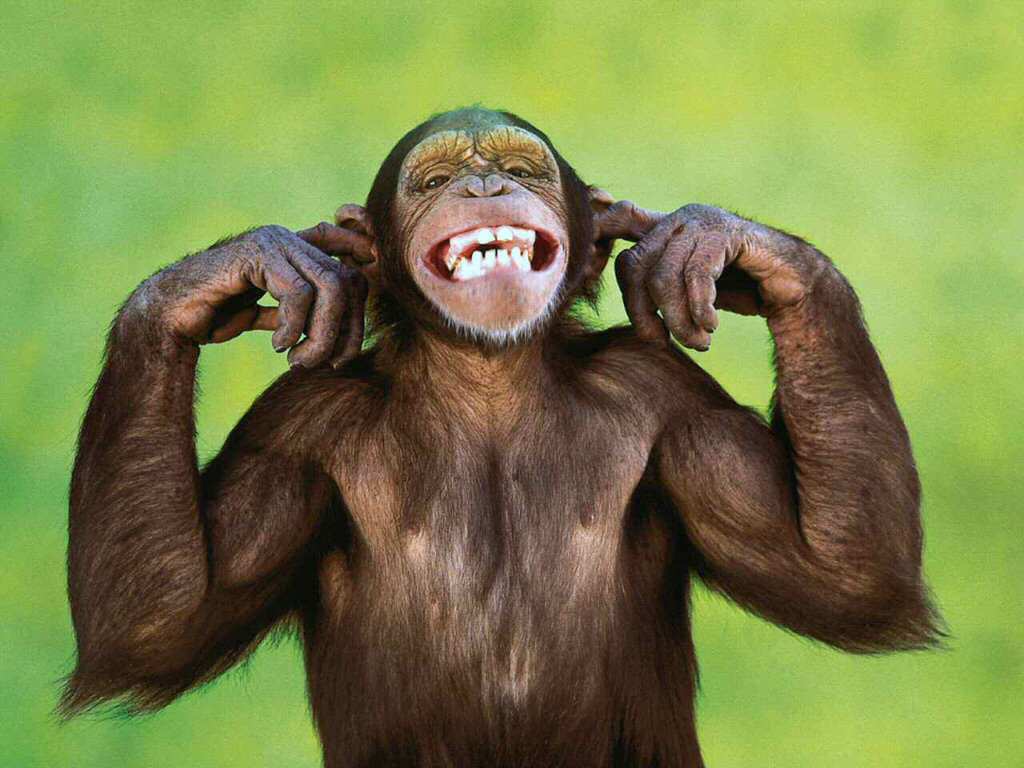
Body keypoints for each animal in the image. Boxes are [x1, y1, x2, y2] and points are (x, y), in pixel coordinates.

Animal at [62, 107, 941, 767]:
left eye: (522, 169)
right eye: (434, 181)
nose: (485, 184)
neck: (488, 382)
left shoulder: (671, 401)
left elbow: (838, 574)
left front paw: (712, 241)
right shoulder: (294, 430)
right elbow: (159, 620)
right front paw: (234, 271)